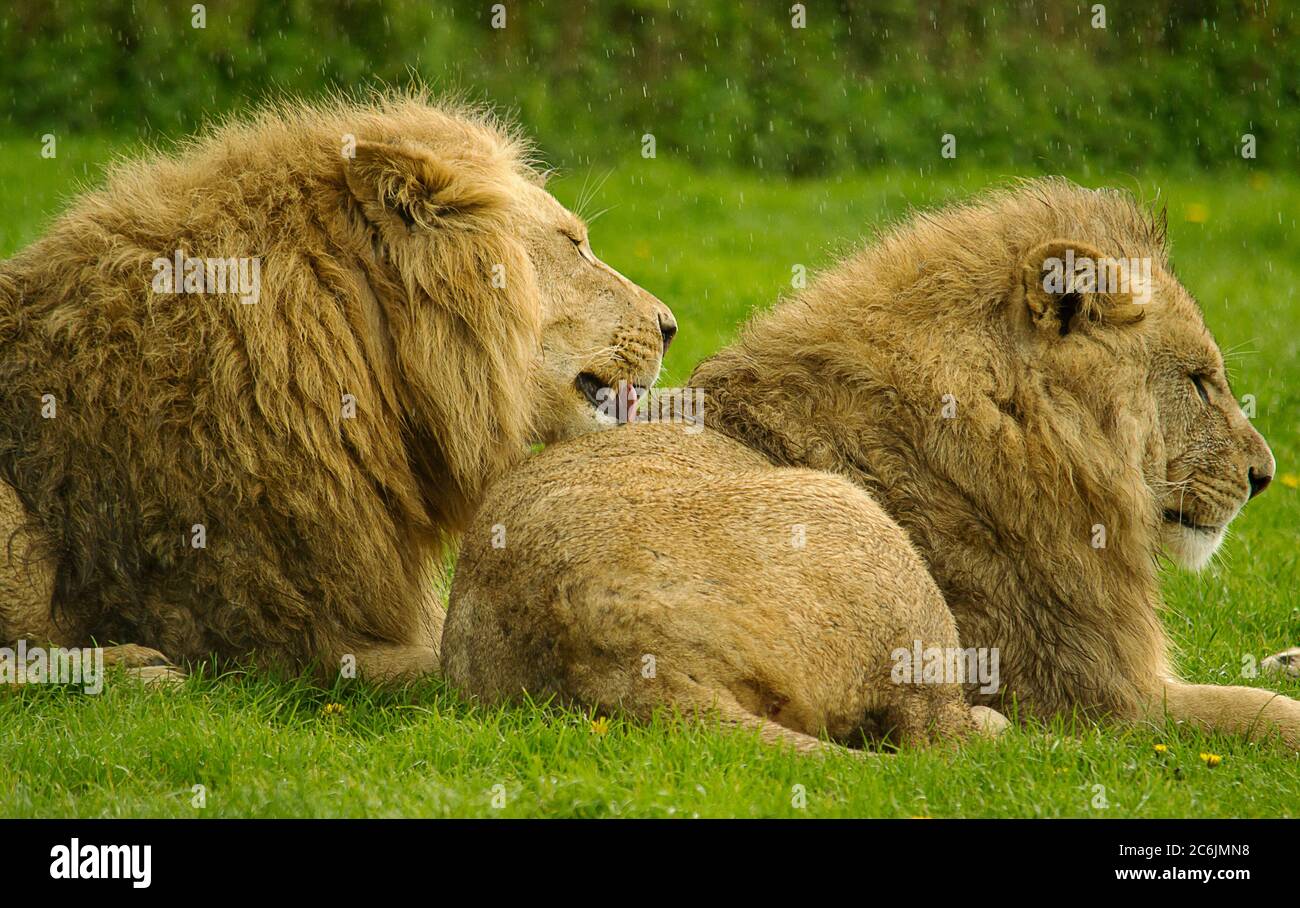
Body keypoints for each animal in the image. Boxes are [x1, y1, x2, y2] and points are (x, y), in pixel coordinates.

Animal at [442, 178, 1299, 752]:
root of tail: (611, 658)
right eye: (1199, 381)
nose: (1265, 477)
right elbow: (1258, 711)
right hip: (866, 537)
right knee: (941, 736)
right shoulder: (1099, 692)